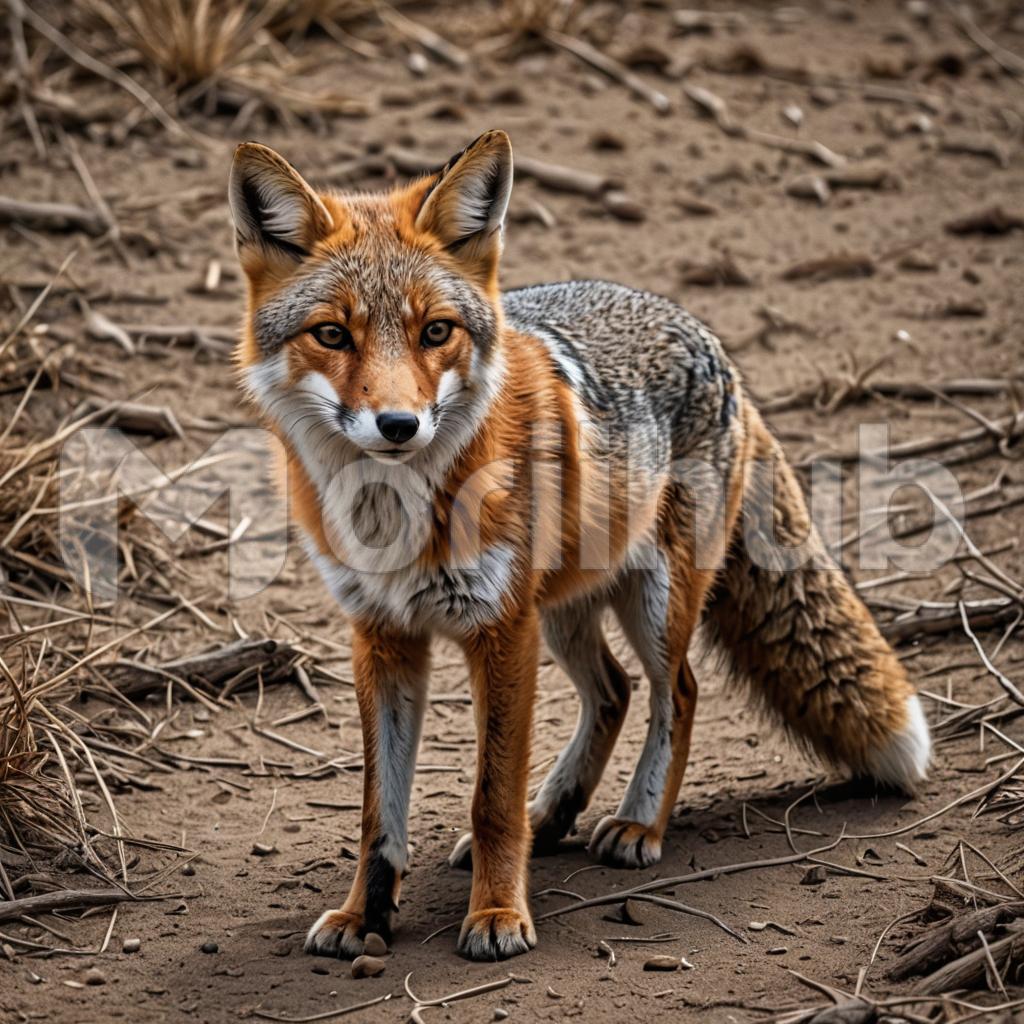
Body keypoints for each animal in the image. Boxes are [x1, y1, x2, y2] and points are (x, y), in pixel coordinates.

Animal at [228, 130, 931, 962]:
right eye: (333, 335)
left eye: (436, 331)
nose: (399, 426)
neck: (395, 518)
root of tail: (710, 340)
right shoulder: (385, 636)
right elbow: (379, 810)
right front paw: (365, 916)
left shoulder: (500, 631)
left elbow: (491, 797)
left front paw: (498, 914)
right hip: (562, 615)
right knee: (614, 692)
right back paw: (554, 815)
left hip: (651, 605)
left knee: (675, 692)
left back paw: (638, 823)